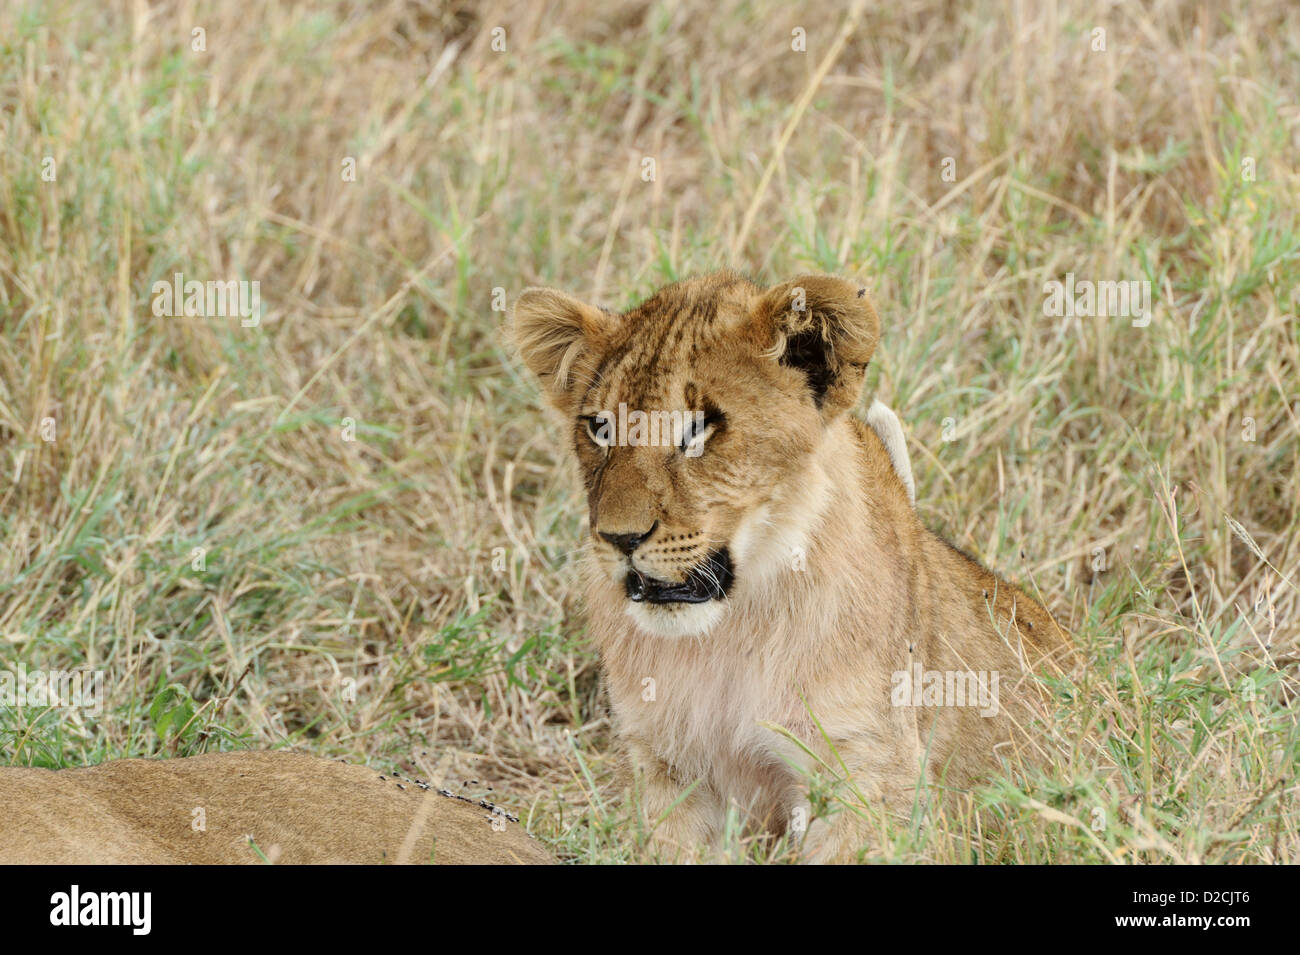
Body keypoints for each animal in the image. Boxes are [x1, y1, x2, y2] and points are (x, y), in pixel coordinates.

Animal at [513, 271, 1073, 862]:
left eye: (700, 428)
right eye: (599, 428)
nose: (619, 538)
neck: (726, 637)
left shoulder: (865, 768)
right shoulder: (664, 768)